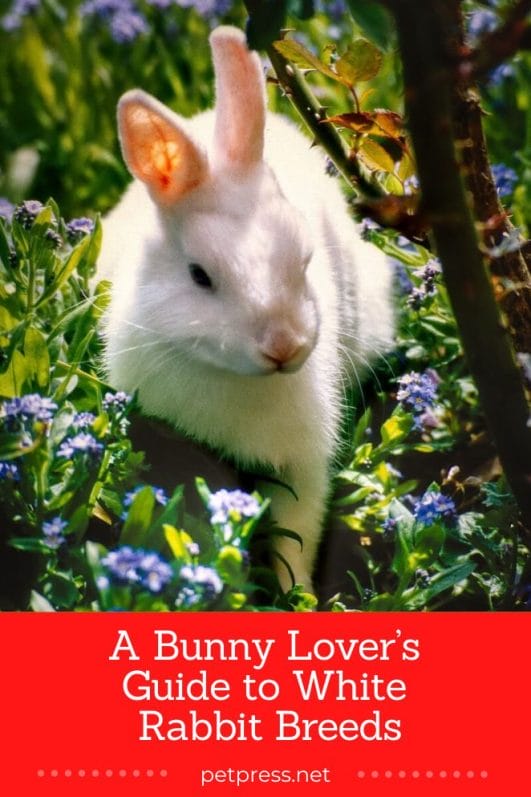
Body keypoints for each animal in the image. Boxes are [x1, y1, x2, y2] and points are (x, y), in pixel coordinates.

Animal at [99, 25, 394, 594]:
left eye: (304, 259)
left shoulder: (302, 470)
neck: (231, 378)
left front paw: (300, 597)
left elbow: (295, 541)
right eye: (199, 275)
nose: (284, 347)